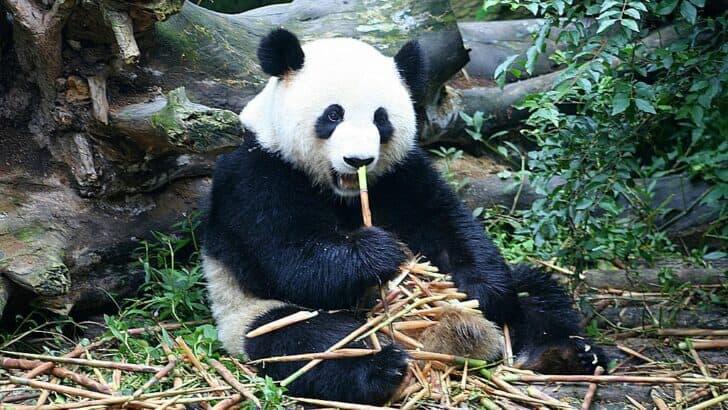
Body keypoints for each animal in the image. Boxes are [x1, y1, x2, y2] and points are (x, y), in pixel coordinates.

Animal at [202, 29, 606, 405]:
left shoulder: (400, 173)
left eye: (381, 119)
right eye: (333, 114)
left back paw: (568, 352)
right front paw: (378, 253)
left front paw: (480, 290)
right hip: (247, 315)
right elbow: (289, 255)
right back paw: (380, 367)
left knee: (536, 292)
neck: (343, 193)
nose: (359, 160)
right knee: (306, 341)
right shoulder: (256, 174)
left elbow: (445, 223)